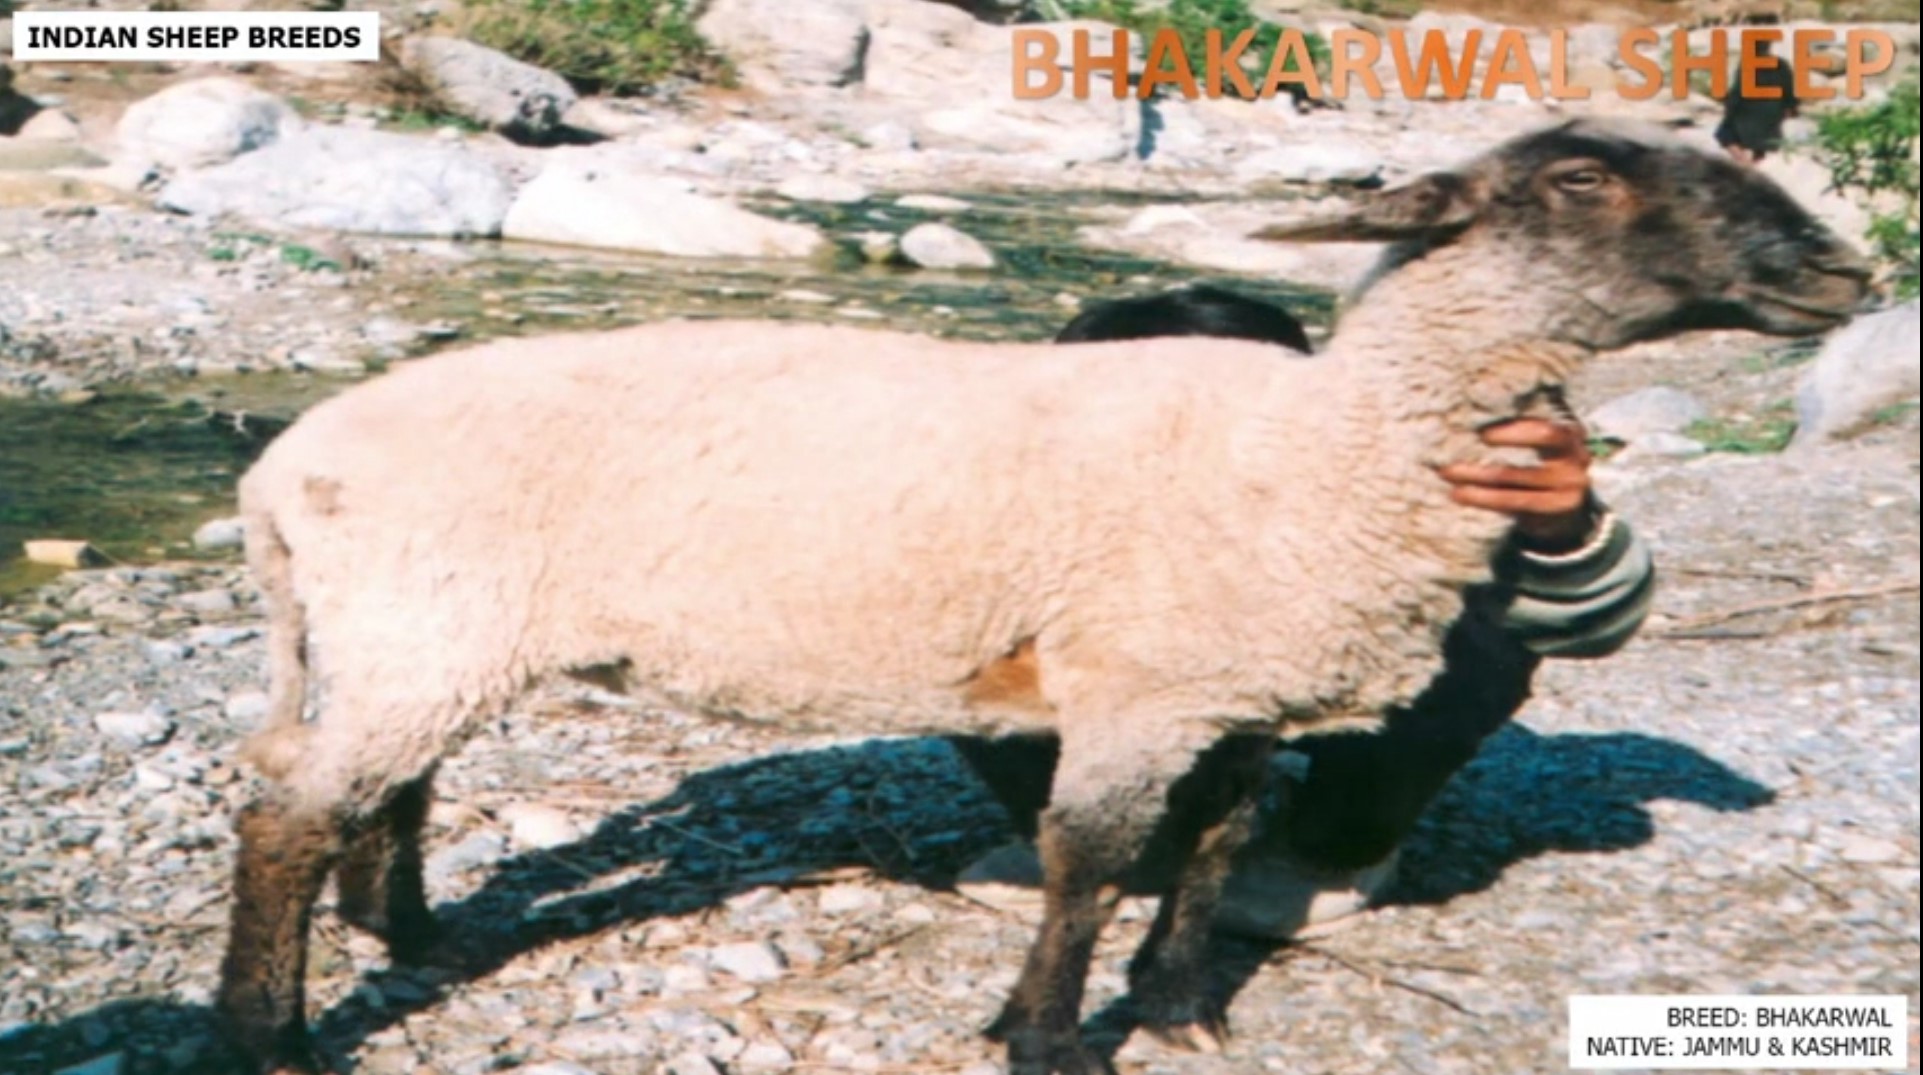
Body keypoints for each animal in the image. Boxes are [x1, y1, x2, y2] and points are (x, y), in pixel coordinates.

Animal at [215, 117, 1869, 1075]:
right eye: (1579, 179)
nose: (1841, 266)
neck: (1323, 447)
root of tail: (282, 470)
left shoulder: (1230, 688)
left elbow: (1211, 845)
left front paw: (1182, 1001)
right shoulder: (1134, 688)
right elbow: (1089, 860)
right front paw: (1048, 1033)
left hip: (423, 625)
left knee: (391, 786)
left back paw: (411, 932)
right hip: (426, 613)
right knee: (288, 813)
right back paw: (269, 1032)